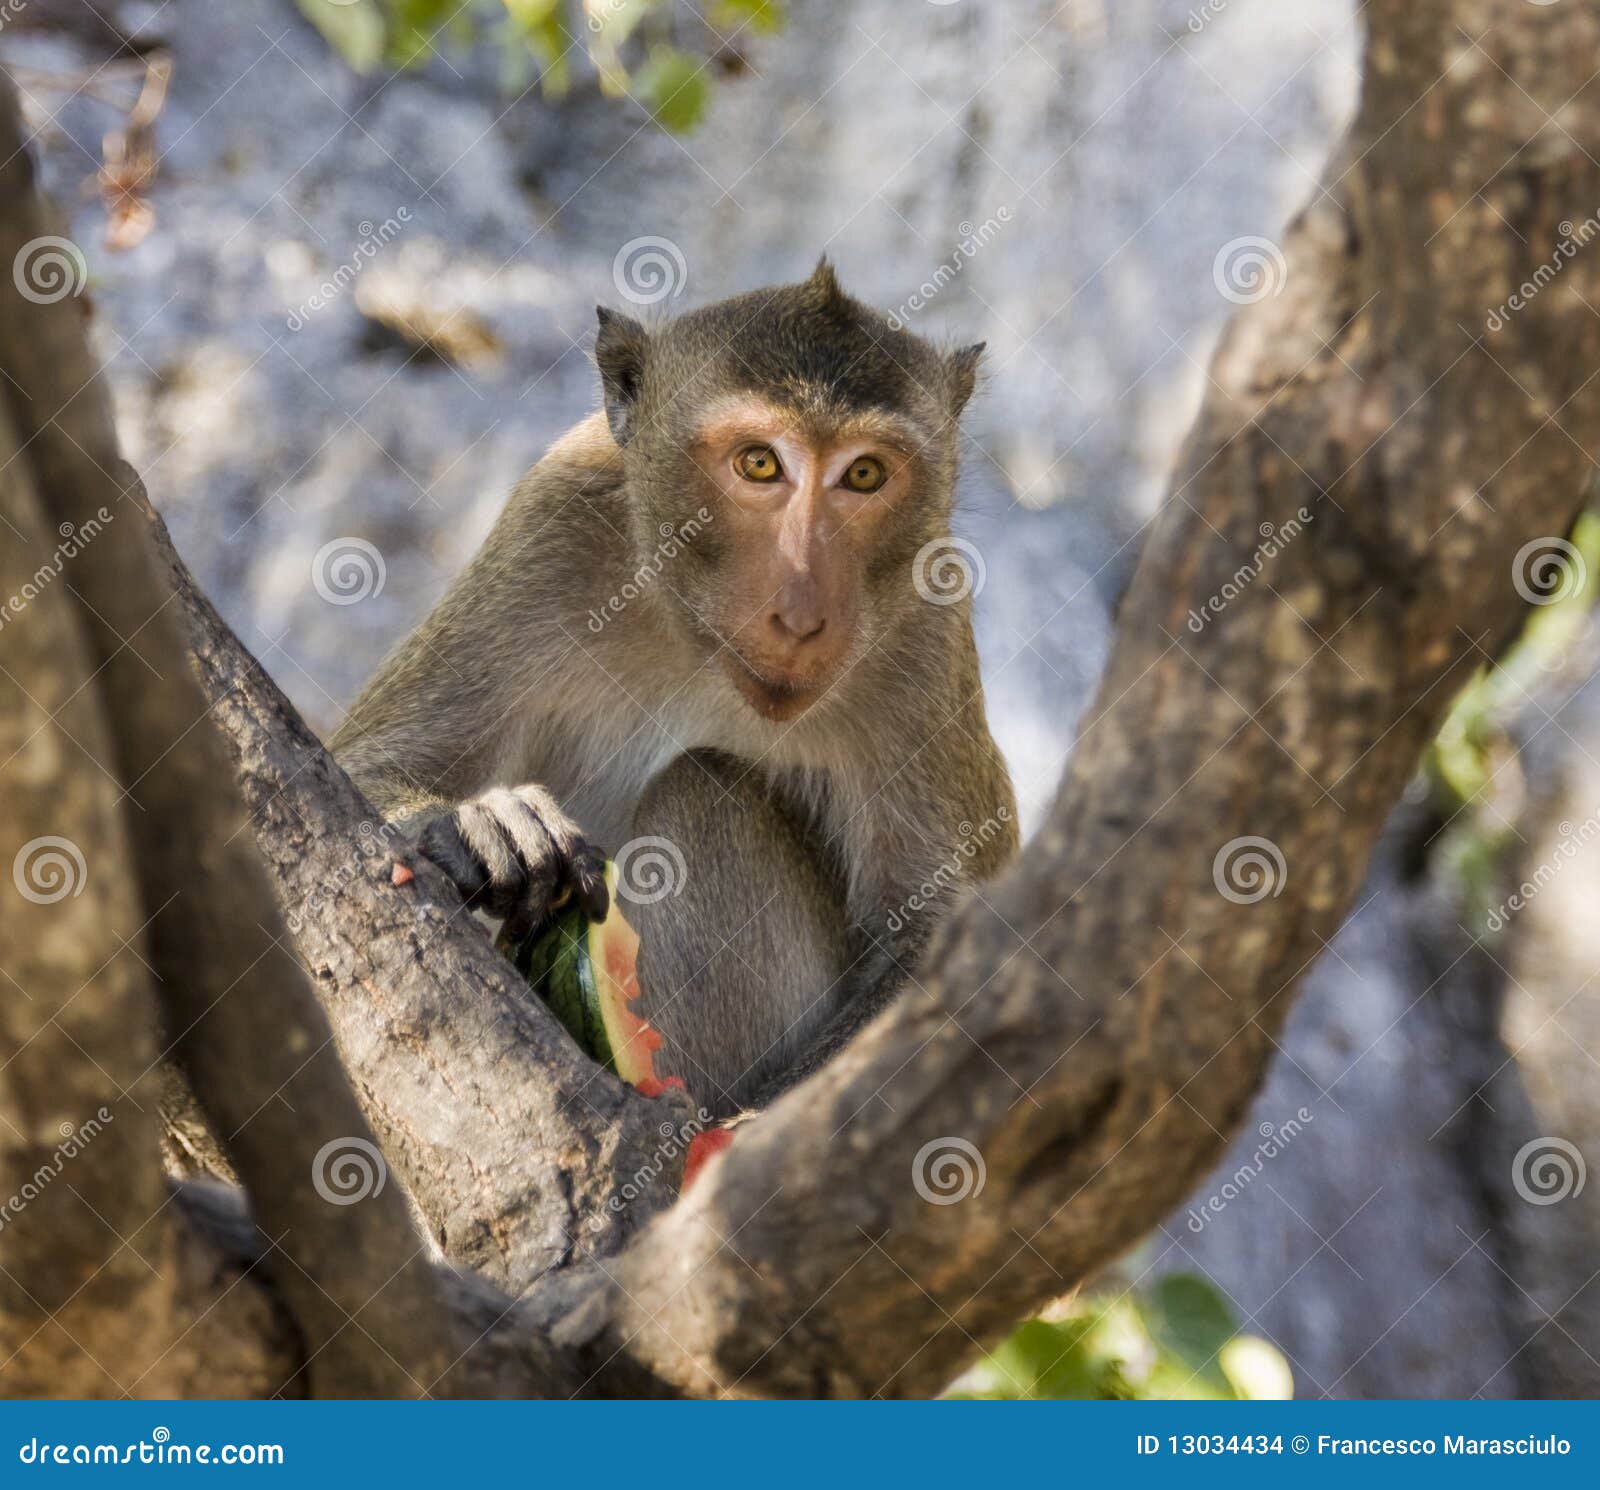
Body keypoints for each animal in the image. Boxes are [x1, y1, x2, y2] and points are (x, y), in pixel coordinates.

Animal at [330, 260, 1019, 1118]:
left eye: (864, 474)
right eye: (759, 463)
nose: (801, 614)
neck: (702, 646)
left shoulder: (929, 616)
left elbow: (945, 930)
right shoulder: (554, 522)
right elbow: (365, 768)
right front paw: (479, 824)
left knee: (704, 790)